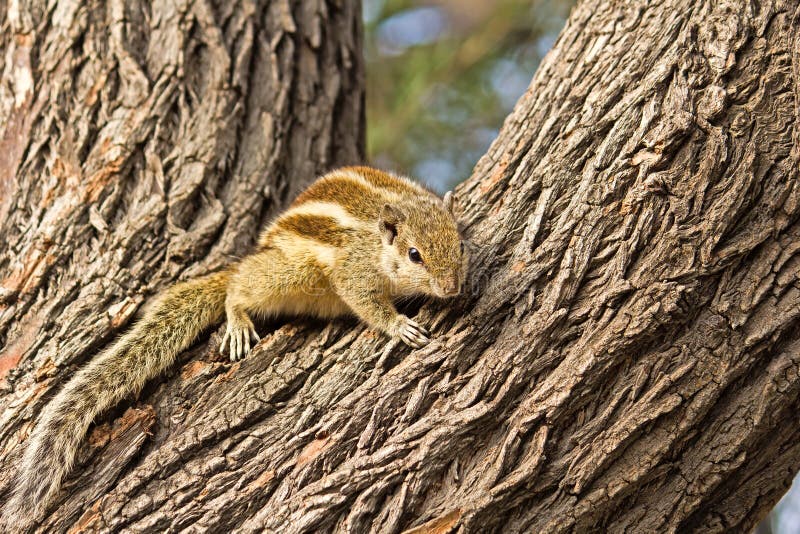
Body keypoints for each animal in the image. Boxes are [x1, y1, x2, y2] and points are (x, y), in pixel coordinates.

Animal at [4, 166, 466, 526]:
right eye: (414, 254)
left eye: (459, 244)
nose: (452, 288)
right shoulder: (356, 270)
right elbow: (366, 301)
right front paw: (400, 326)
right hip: (293, 273)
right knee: (240, 285)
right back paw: (238, 316)